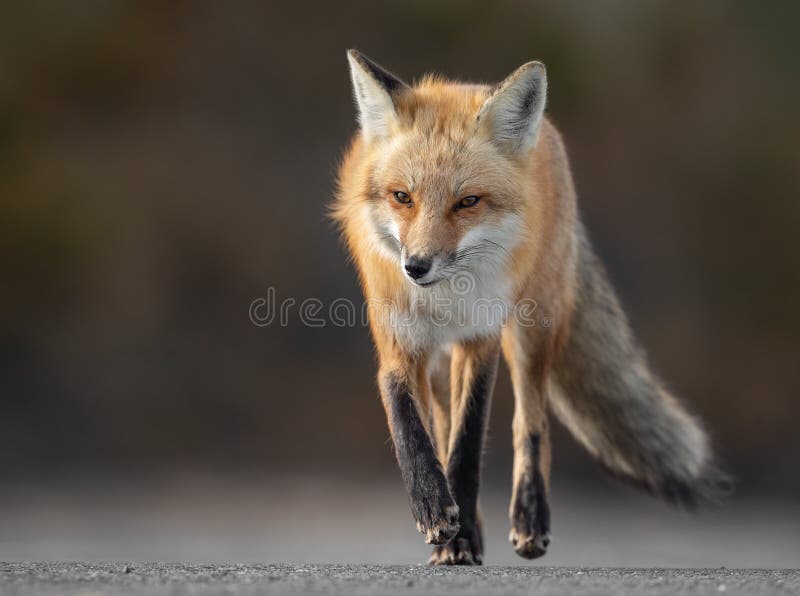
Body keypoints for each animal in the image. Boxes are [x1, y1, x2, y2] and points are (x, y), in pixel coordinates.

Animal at [333, 50, 728, 565]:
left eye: (468, 202)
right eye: (403, 197)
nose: (415, 266)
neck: (444, 301)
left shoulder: (480, 340)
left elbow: (468, 443)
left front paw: (460, 531)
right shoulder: (399, 344)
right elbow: (412, 429)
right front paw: (438, 511)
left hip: (531, 330)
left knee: (531, 421)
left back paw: (529, 519)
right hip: (442, 361)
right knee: (443, 424)